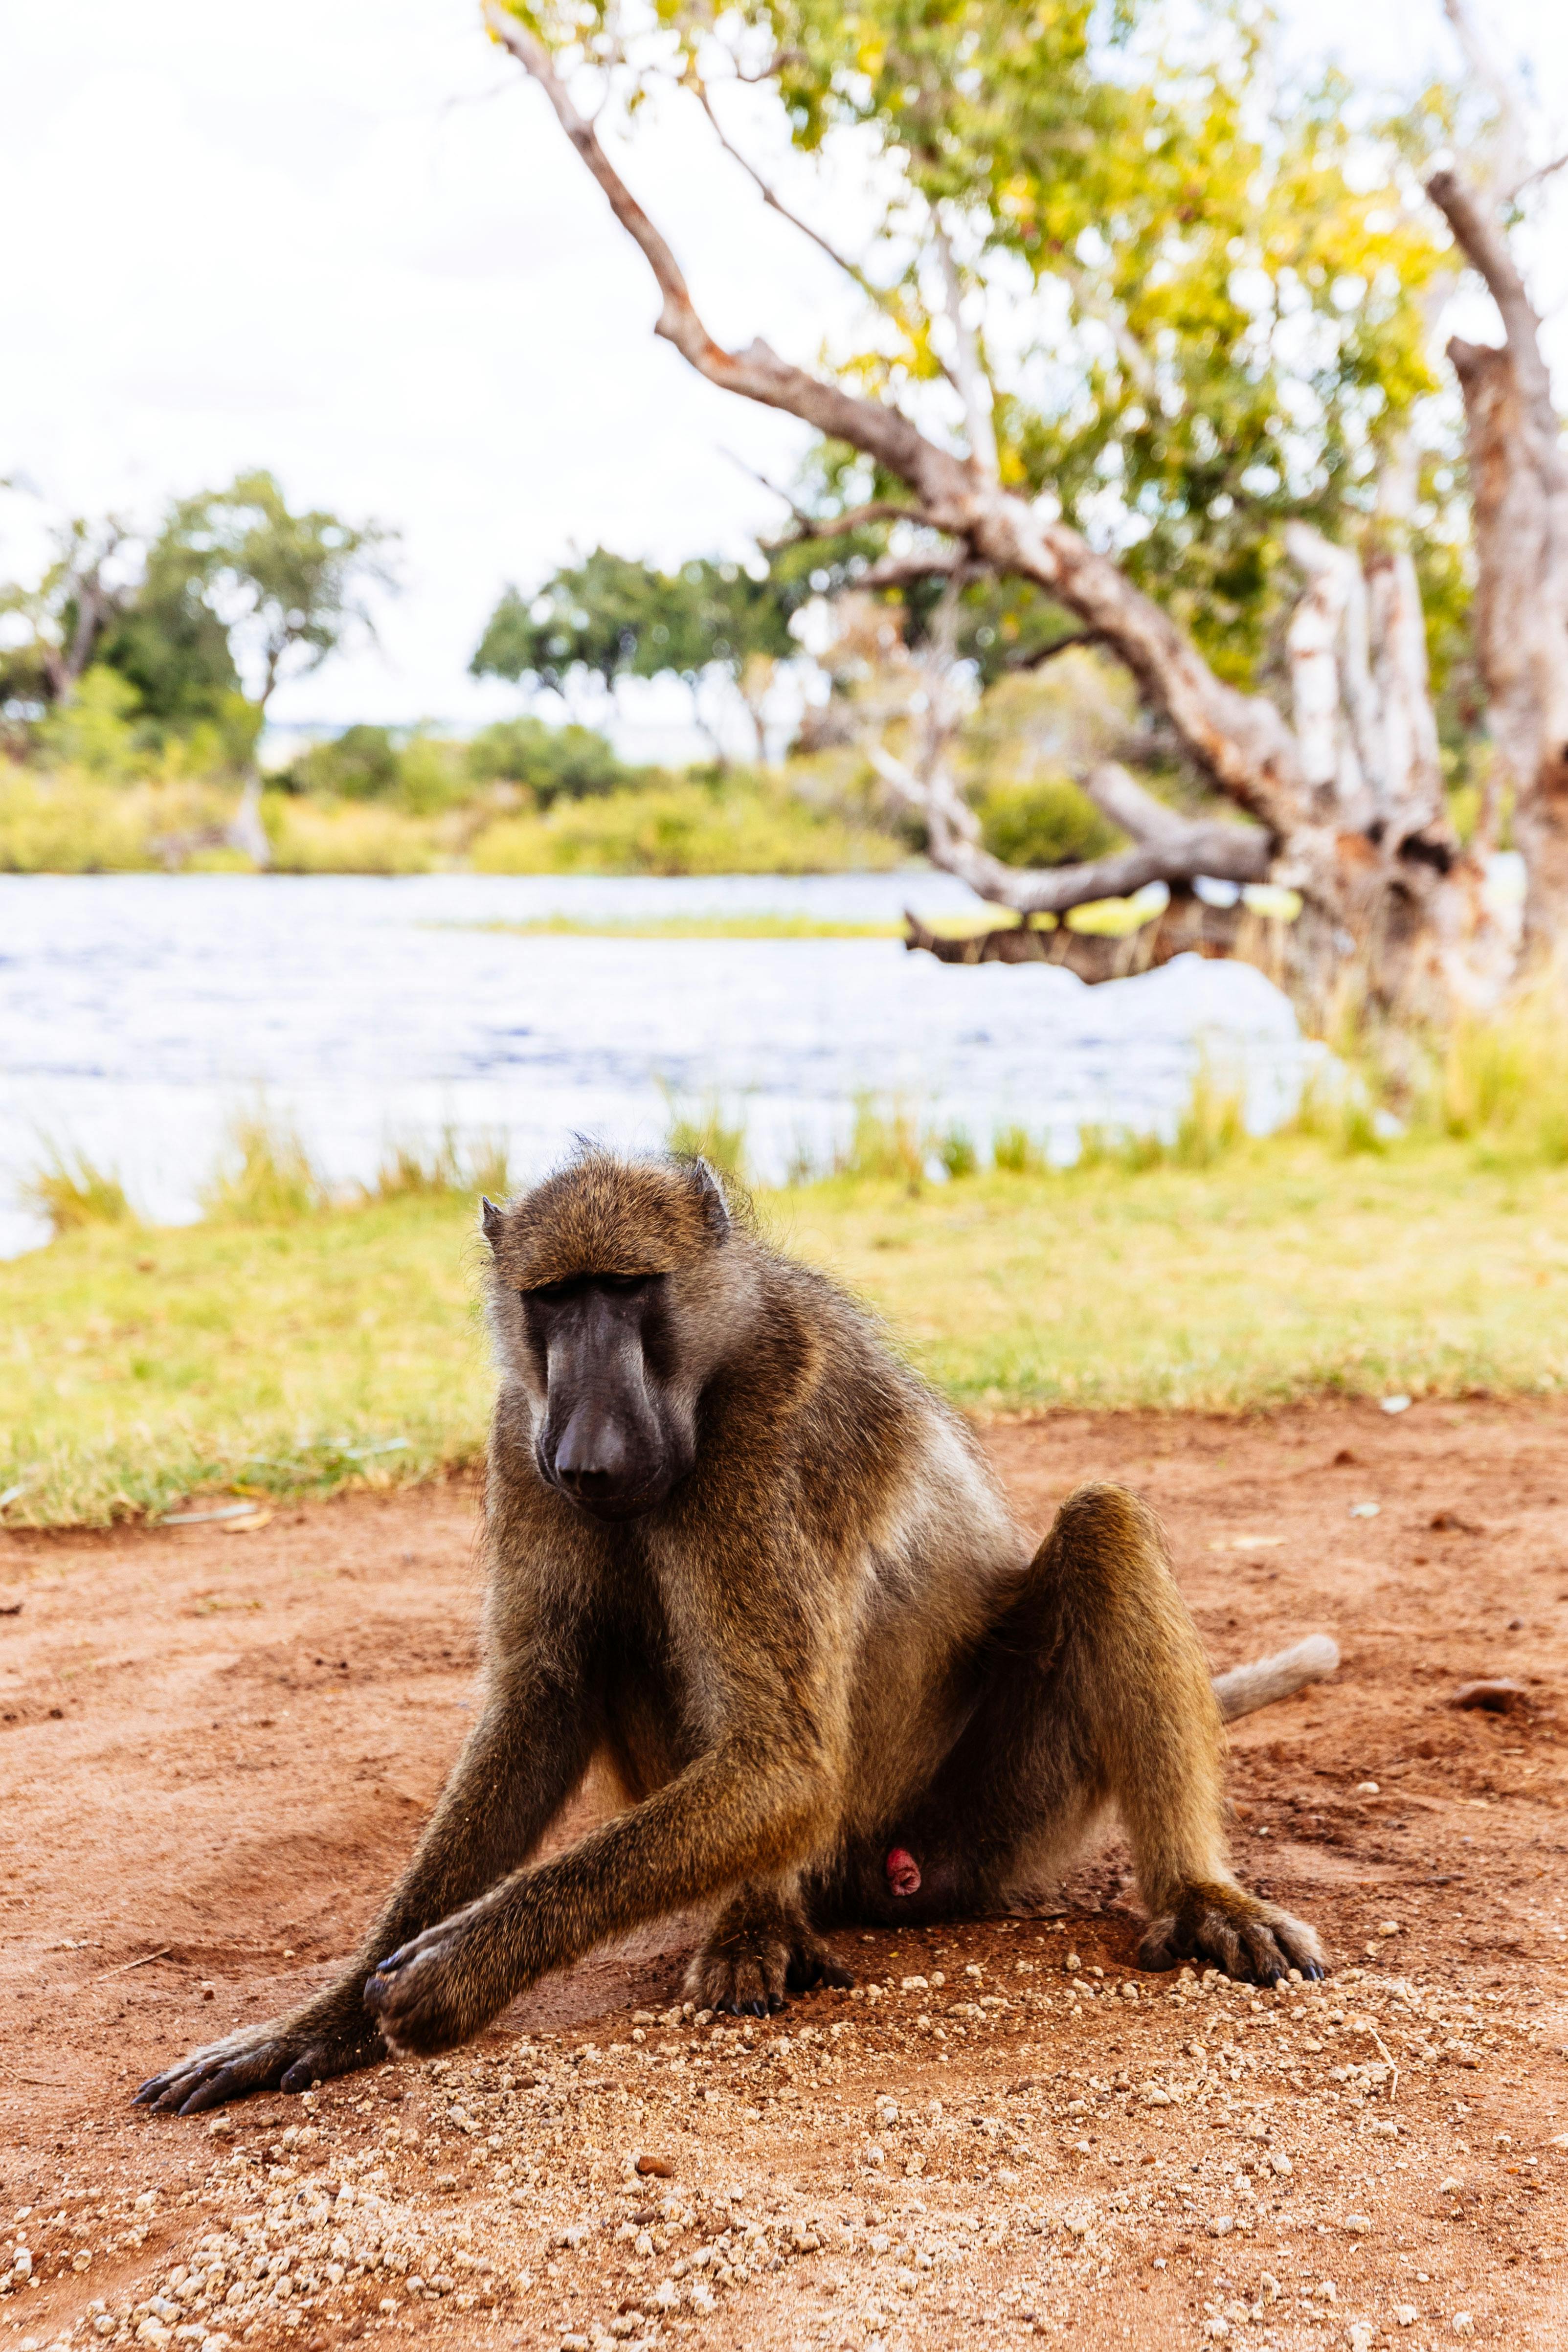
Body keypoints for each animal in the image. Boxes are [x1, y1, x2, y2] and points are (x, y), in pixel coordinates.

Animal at [135, 1149, 1337, 2116]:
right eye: (554, 1301)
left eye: (628, 1290)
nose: (590, 1452)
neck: (712, 1361)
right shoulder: (517, 1436)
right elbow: (542, 1703)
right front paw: (325, 2017)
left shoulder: (767, 1439)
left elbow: (785, 1759)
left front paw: (454, 1973)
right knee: (623, 1651)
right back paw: (760, 1923)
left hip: (994, 1823)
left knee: (1099, 1527)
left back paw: (1196, 1898)